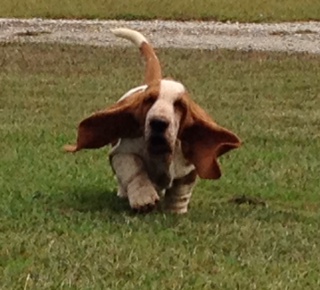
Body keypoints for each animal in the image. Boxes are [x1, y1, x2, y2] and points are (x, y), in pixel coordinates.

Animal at [65, 27, 240, 213]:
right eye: (149, 100)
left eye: (179, 105)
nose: (159, 122)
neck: (160, 154)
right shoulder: (122, 153)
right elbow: (134, 170)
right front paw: (143, 199)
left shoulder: (189, 167)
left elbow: (181, 190)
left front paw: (175, 211)